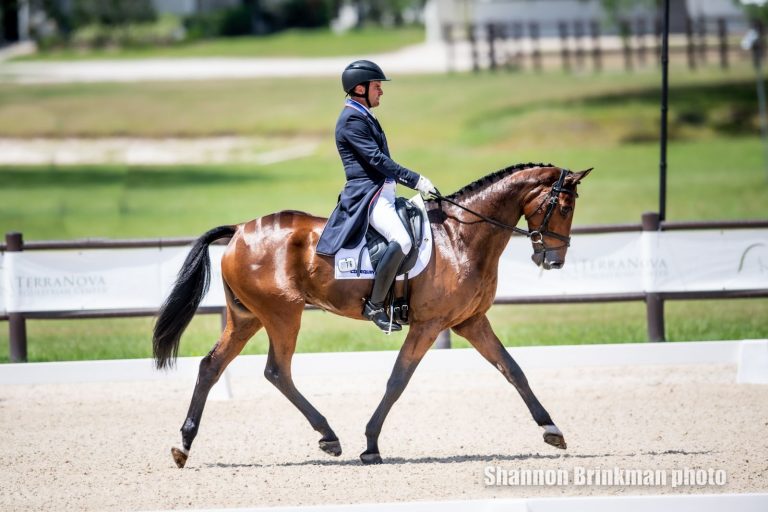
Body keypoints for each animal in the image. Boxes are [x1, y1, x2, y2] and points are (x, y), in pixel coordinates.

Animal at [153, 162, 592, 468]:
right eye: (563, 206)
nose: (553, 260)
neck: (461, 237)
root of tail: (241, 229)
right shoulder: (429, 325)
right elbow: (397, 380)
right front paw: (370, 444)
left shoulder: (470, 322)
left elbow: (513, 370)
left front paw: (551, 429)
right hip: (282, 314)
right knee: (277, 370)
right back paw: (329, 436)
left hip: (247, 317)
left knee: (212, 366)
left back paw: (183, 445)